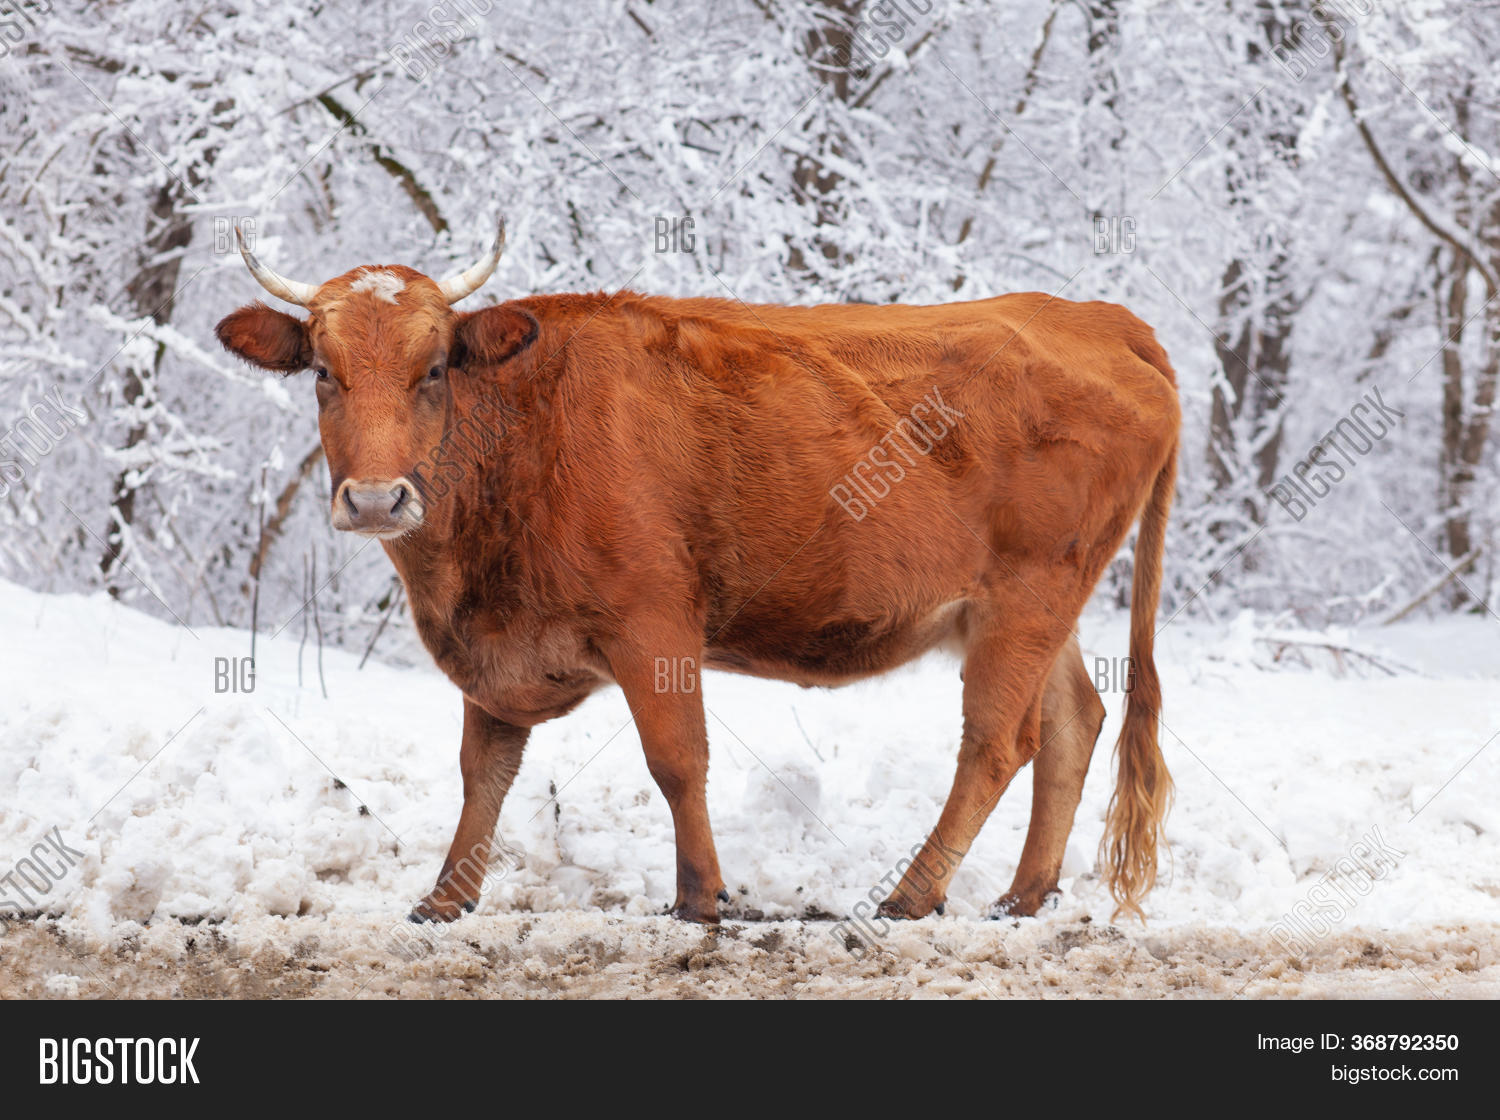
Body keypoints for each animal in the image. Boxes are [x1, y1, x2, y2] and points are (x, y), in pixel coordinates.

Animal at [215, 218, 1179, 925]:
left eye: (435, 367)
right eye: (323, 372)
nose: (378, 499)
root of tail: (1099, 317)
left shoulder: (654, 620)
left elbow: (678, 758)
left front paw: (702, 897)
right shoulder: (494, 643)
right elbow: (483, 769)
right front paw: (445, 900)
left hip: (1026, 595)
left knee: (997, 743)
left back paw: (912, 896)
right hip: (1036, 608)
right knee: (1073, 724)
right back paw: (1023, 897)